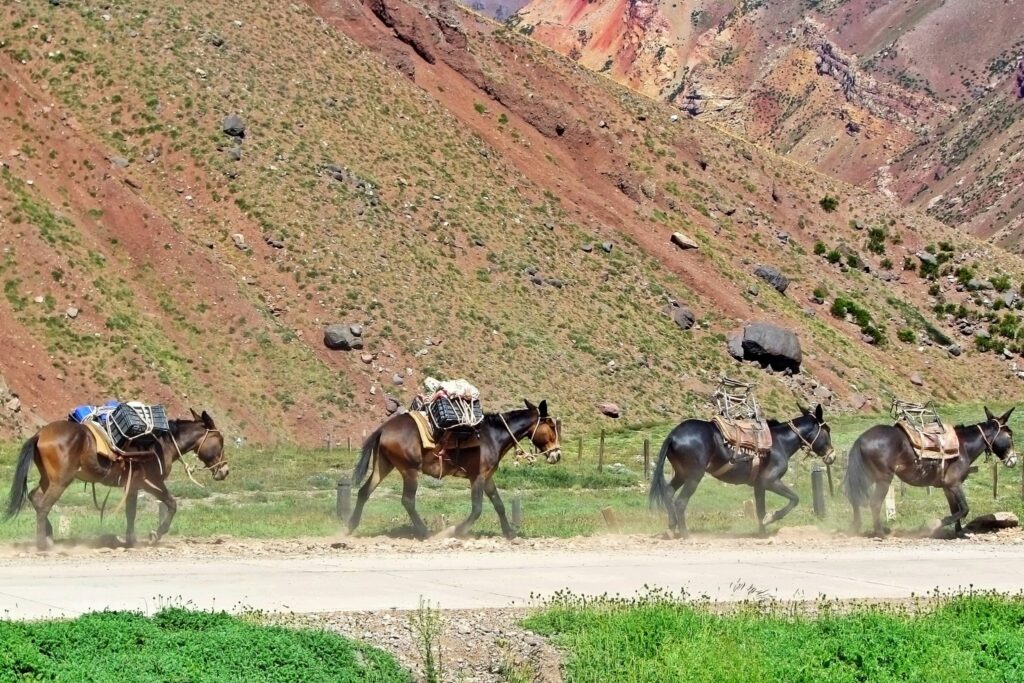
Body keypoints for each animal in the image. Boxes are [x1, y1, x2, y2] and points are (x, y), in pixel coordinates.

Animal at [4, 409, 229, 550]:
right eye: (220, 440)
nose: (225, 470)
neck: (159, 444)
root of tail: (41, 434)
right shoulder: (151, 482)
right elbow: (171, 504)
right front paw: (155, 535)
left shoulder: (133, 486)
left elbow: (131, 512)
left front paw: (131, 540)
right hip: (60, 481)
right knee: (43, 505)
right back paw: (43, 544)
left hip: (47, 479)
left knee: (35, 498)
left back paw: (49, 537)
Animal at [347, 399, 561, 539]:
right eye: (551, 425)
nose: (557, 455)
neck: (493, 435)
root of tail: (384, 428)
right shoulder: (478, 477)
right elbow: (477, 508)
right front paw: (457, 531)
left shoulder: (488, 478)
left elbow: (499, 504)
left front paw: (509, 533)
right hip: (409, 471)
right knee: (407, 500)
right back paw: (425, 532)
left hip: (383, 465)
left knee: (364, 492)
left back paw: (350, 526)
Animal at [648, 404, 834, 537]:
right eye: (827, 430)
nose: (832, 455)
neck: (781, 442)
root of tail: (673, 435)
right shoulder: (770, 481)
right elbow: (794, 499)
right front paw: (771, 519)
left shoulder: (759, 485)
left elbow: (760, 510)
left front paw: (762, 533)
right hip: (694, 476)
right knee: (680, 502)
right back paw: (685, 534)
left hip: (681, 474)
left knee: (668, 492)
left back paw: (671, 529)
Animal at [844, 406, 1017, 537]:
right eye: (1010, 434)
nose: (1014, 460)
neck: (963, 447)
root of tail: (861, 439)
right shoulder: (954, 484)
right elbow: (964, 509)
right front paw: (935, 525)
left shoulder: (947, 487)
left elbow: (956, 509)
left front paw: (959, 532)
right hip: (883, 480)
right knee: (874, 503)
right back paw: (879, 533)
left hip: (868, 477)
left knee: (855, 500)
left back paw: (856, 528)